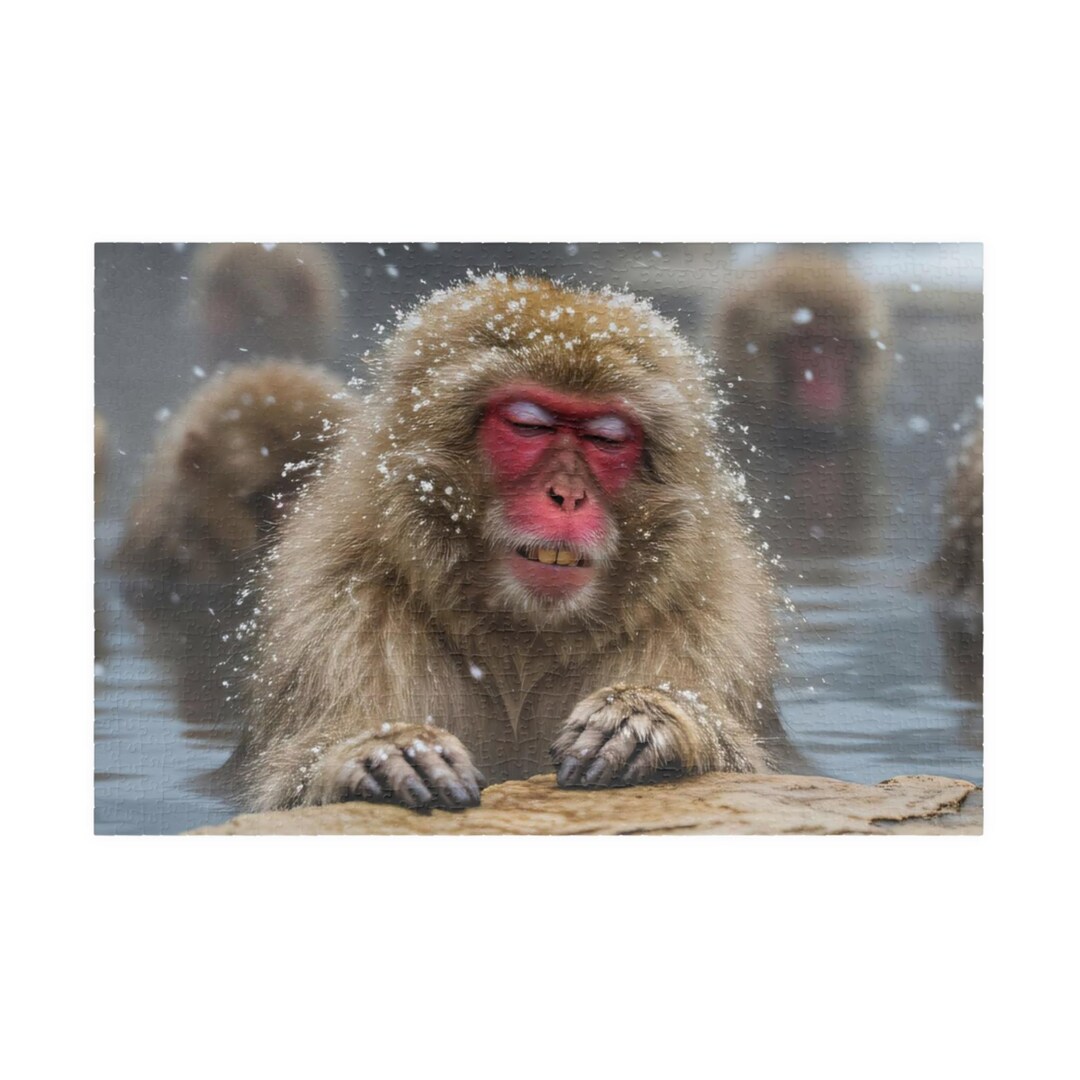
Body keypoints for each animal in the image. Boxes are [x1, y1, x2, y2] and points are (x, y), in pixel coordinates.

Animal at [233, 274, 794, 814]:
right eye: (529, 426)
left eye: (607, 438)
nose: (567, 495)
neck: (522, 645)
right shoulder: (334, 603)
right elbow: (283, 794)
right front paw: (382, 750)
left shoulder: (715, 619)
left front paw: (650, 719)